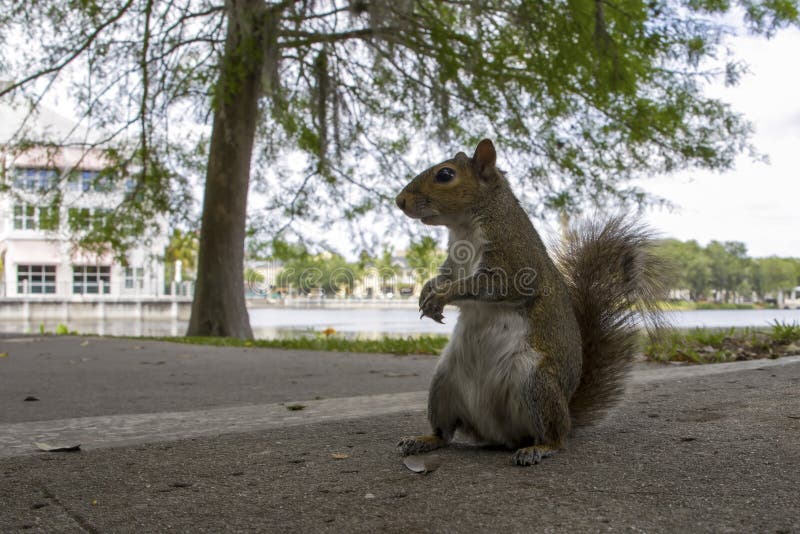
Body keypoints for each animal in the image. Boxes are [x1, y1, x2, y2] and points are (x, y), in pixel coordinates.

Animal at [394, 139, 668, 466]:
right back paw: (423, 440)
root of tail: (500, 434)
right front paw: (428, 292)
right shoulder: (453, 264)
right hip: (442, 385)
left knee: (556, 437)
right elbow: (444, 277)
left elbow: (491, 286)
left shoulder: (516, 263)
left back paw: (538, 448)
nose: (399, 201)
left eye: (445, 174)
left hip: (538, 384)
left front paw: (442, 295)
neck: (465, 227)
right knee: (444, 433)